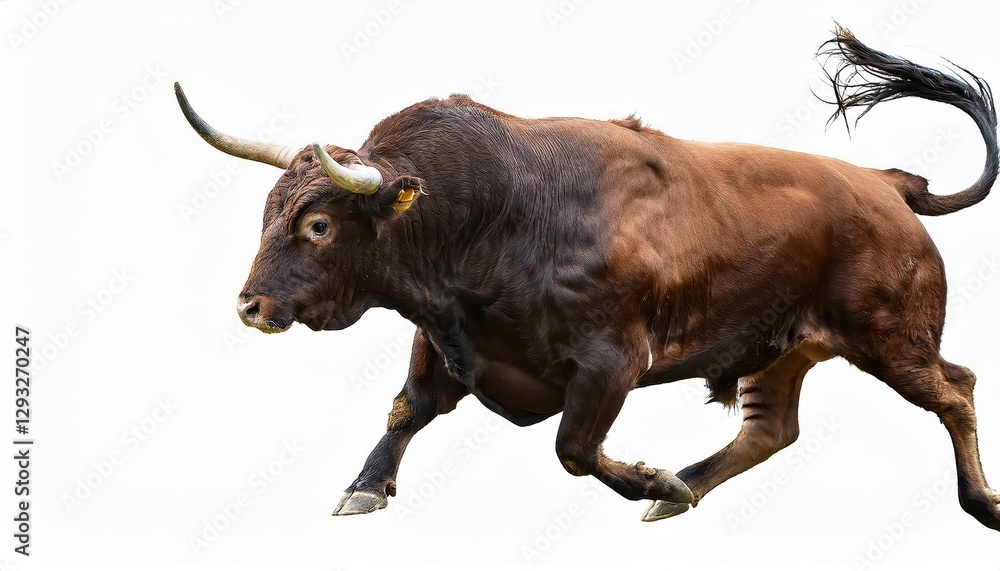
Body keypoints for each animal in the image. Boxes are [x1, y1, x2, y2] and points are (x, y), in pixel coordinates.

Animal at [175, 26, 999, 530]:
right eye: (266, 212)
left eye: (317, 225)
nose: (251, 304)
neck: (489, 213)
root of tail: (884, 183)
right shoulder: (441, 339)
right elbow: (407, 408)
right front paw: (363, 487)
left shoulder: (612, 361)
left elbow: (572, 446)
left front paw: (652, 477)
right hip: (785, 347)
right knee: (773, 428)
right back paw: (685, 491)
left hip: (892, 338)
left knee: (956, 388)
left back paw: (983, 502)